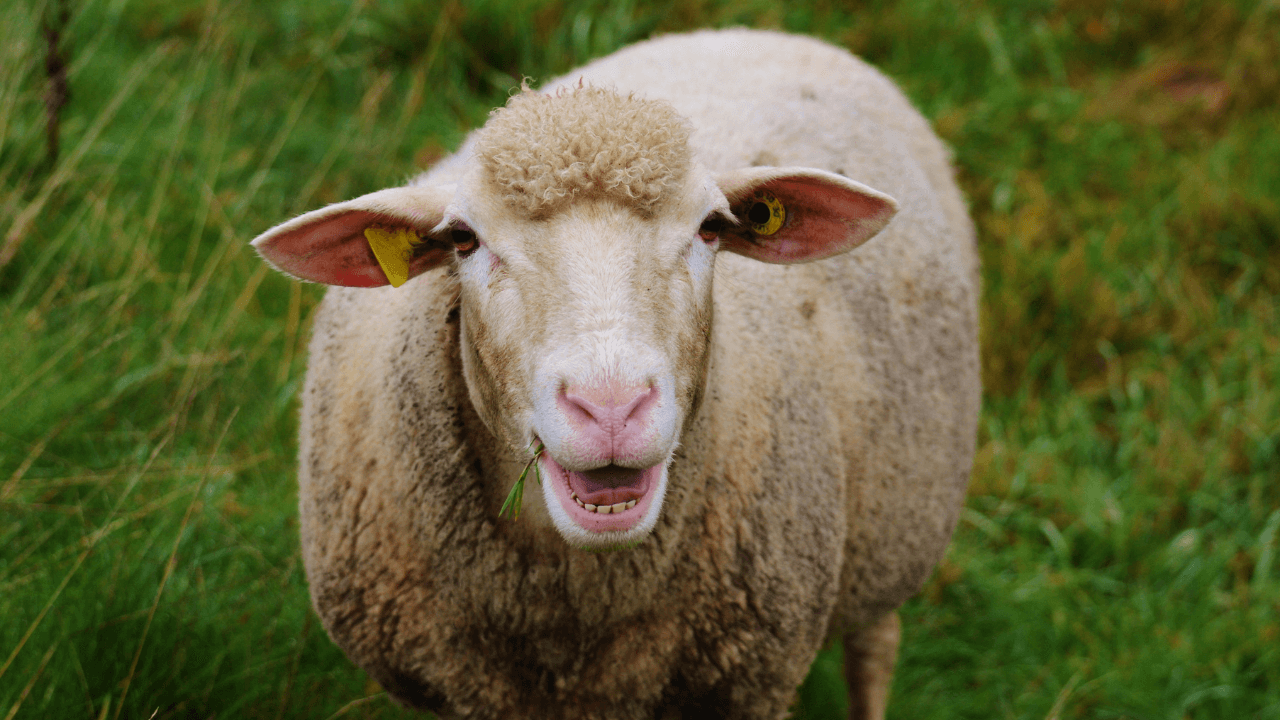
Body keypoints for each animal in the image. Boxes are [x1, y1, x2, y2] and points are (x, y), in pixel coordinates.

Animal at [250, 28, 979, 720]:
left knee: (874, 647)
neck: (570, 617)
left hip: (889, 534)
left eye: (711, 228)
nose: (611, 411)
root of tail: (768, 33)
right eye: (463, 239)